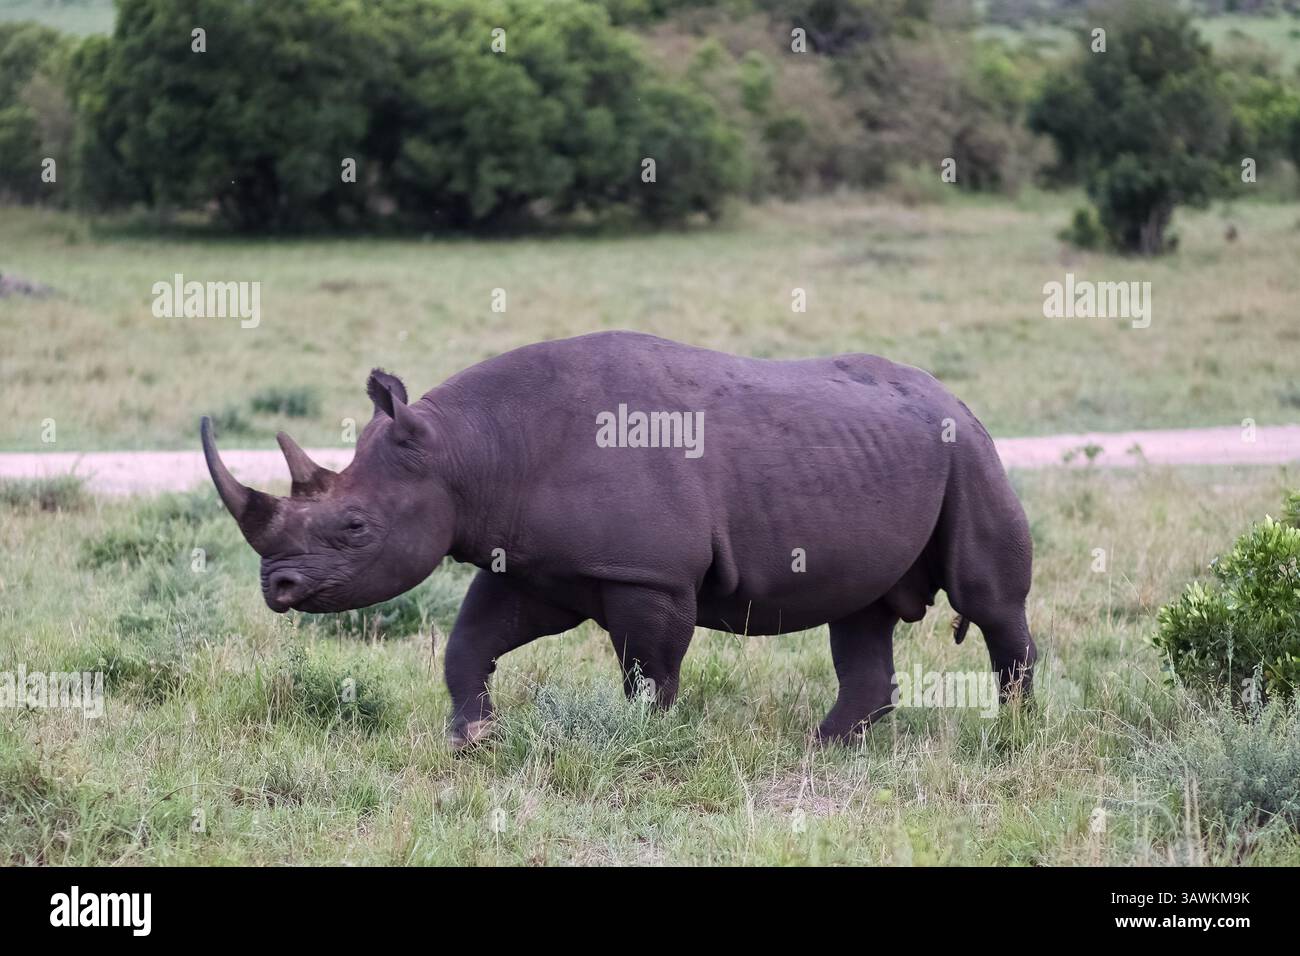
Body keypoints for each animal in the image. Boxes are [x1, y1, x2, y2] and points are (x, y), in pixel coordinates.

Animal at [201, 331, 1036, 747]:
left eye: (355, 528)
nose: (276, 587)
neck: (469, 452)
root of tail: (953, 395)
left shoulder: (647, 572)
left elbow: (648, 669)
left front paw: (641, 742)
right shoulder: (533, 564)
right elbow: (470, 641)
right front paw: (472, 739)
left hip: (968, 450)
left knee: (988, 599)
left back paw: (1015, 730)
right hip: (897, 453)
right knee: (861, 611)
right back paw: (827, 746)